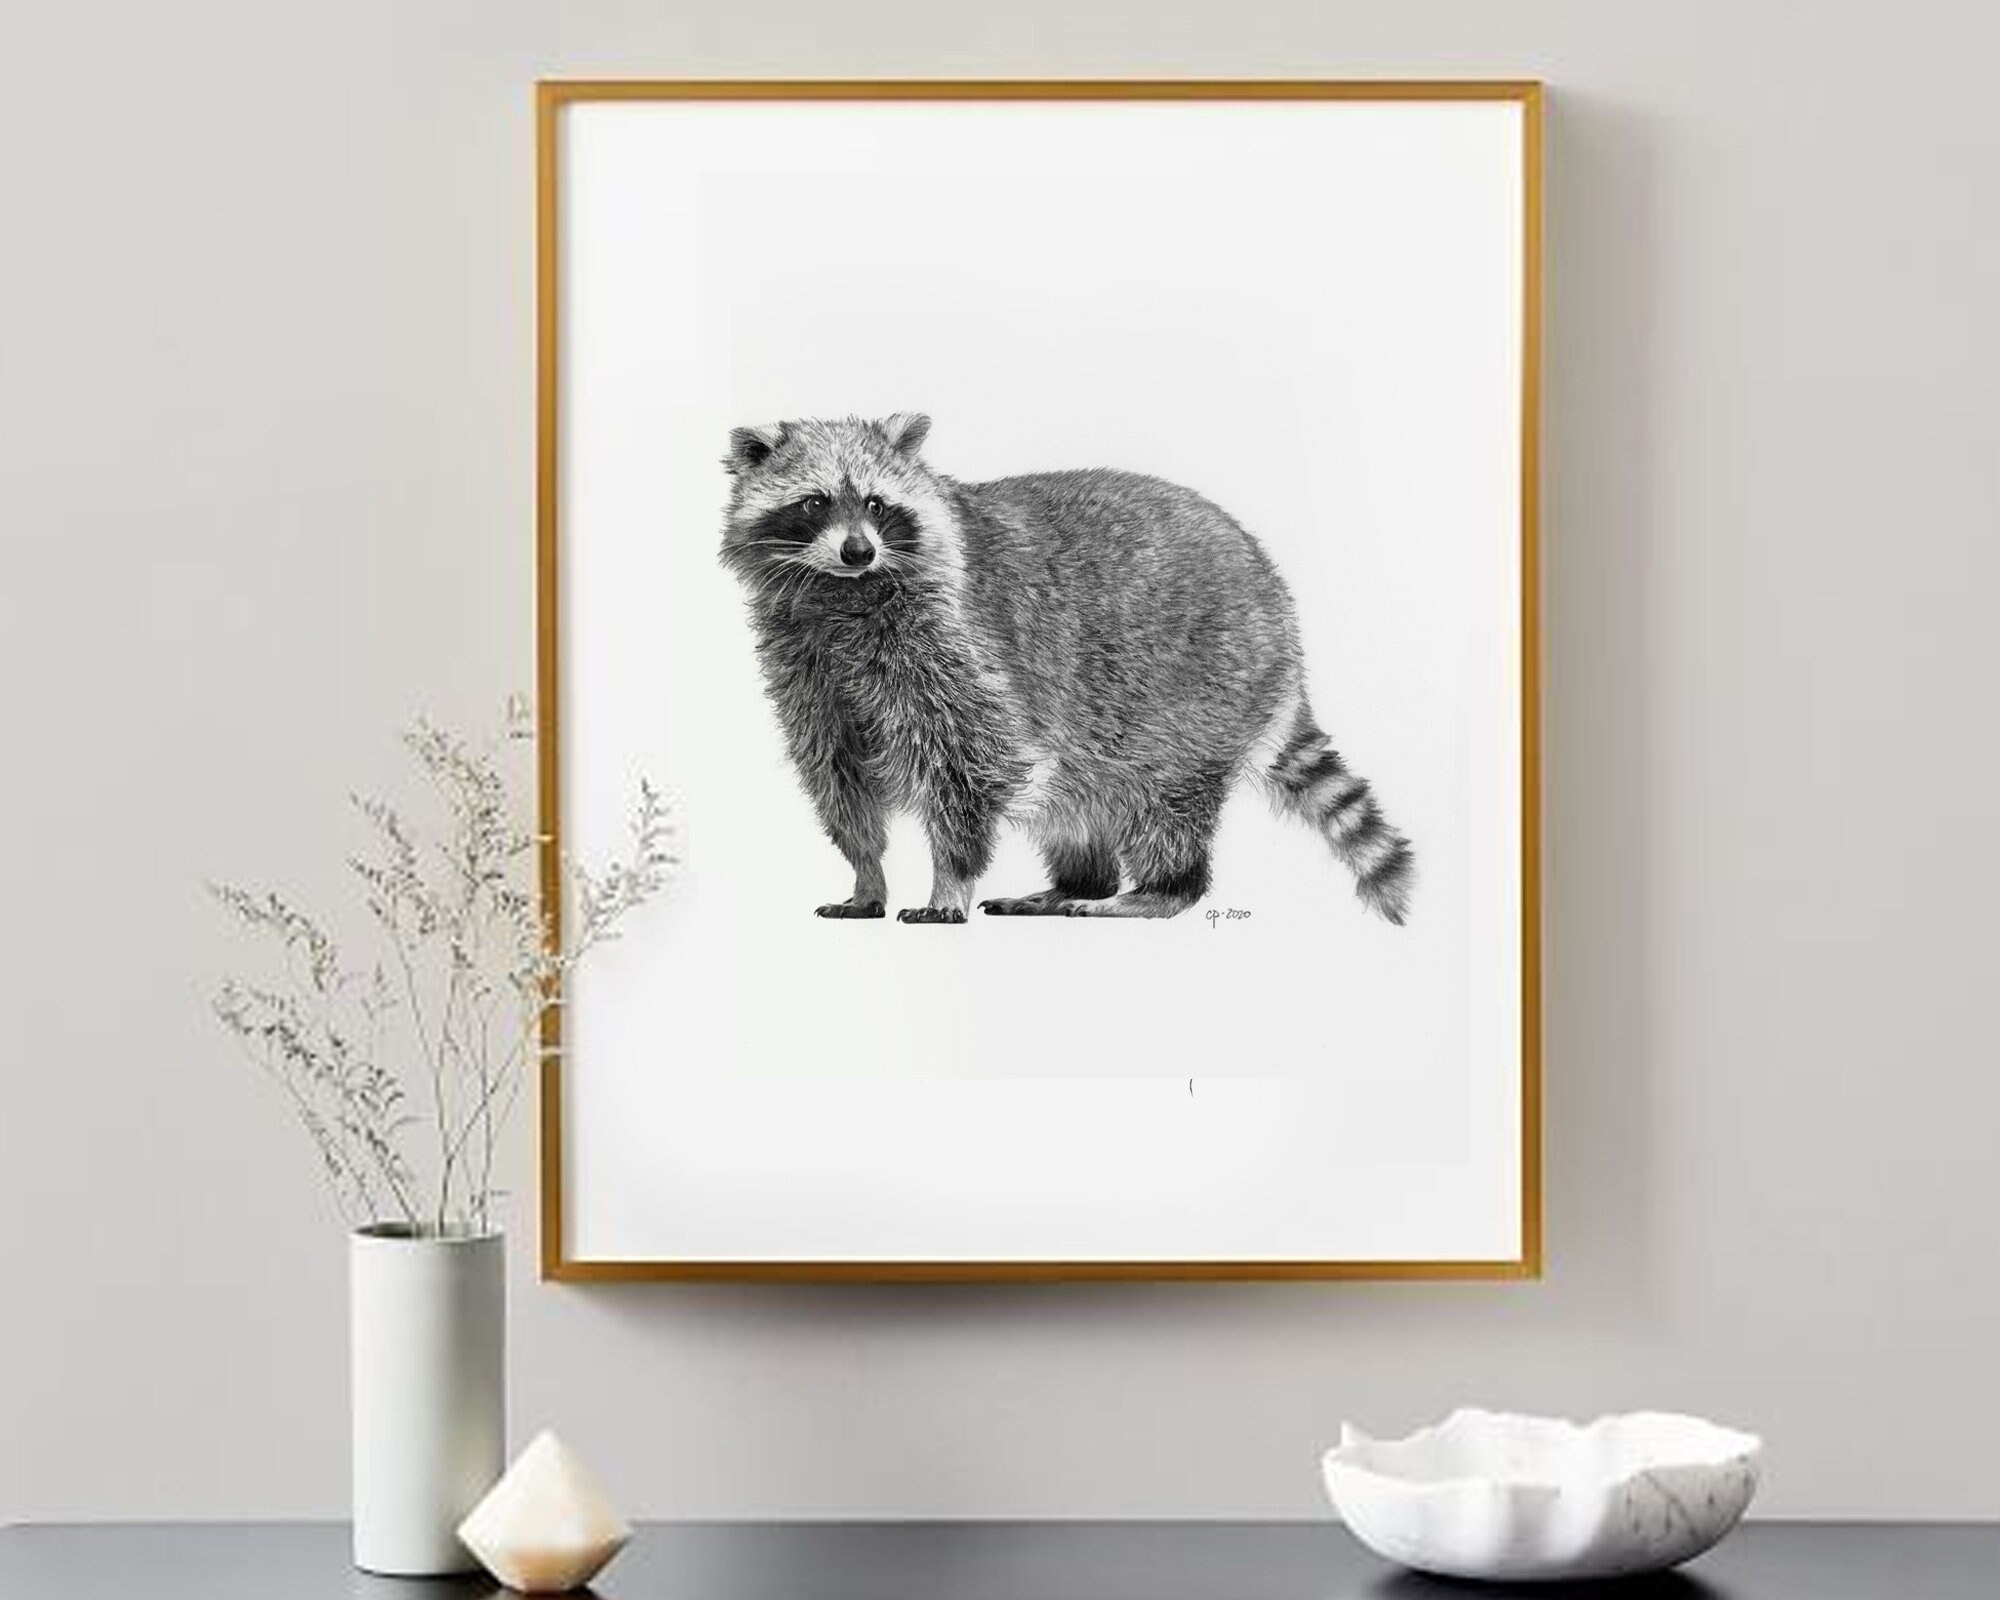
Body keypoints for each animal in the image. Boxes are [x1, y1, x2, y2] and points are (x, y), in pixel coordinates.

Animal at [718, 413, 1414, 925]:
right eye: (815, 502)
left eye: (876, 503)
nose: (858, 551)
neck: (840, 592)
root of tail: (1281, 614)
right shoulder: (809, 665)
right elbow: (838, 769)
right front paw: (867, 873)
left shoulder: (959, 644)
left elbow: (975, 760)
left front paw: (950, 879)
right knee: (1079, 797)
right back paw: (1081, 880)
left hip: (1205, 683)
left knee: (1166, 797)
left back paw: (1160, 889)